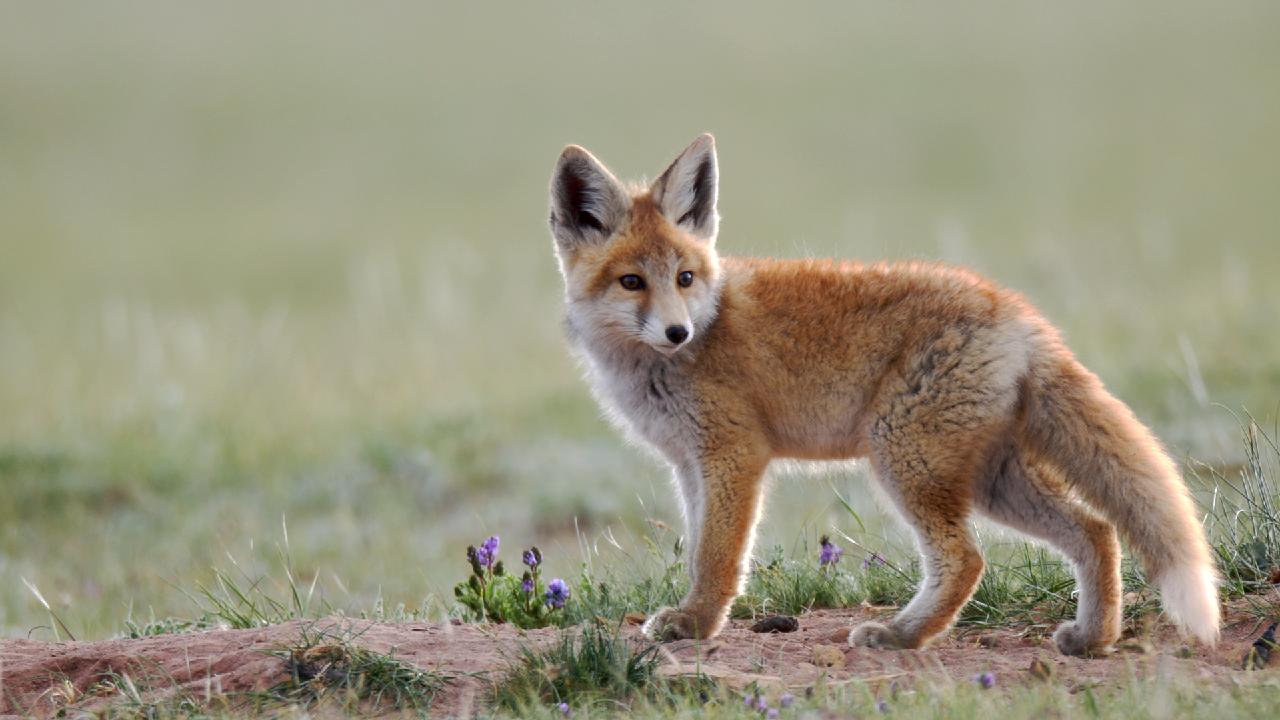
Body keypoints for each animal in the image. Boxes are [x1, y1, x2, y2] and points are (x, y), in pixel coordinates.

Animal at [547, 133, 1220, 655]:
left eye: (685, 277)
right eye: (632, 282)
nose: (677, 331)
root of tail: (1017, 313)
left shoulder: (734, 456)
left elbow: (717, 557)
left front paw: (696, 625)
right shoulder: (691, 464)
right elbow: (698, 552)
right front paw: (693, 618)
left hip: (905, 461)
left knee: (967, 560)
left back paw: (902, 636)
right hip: (991, 479)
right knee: (1096, 531)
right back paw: (1092, 639)